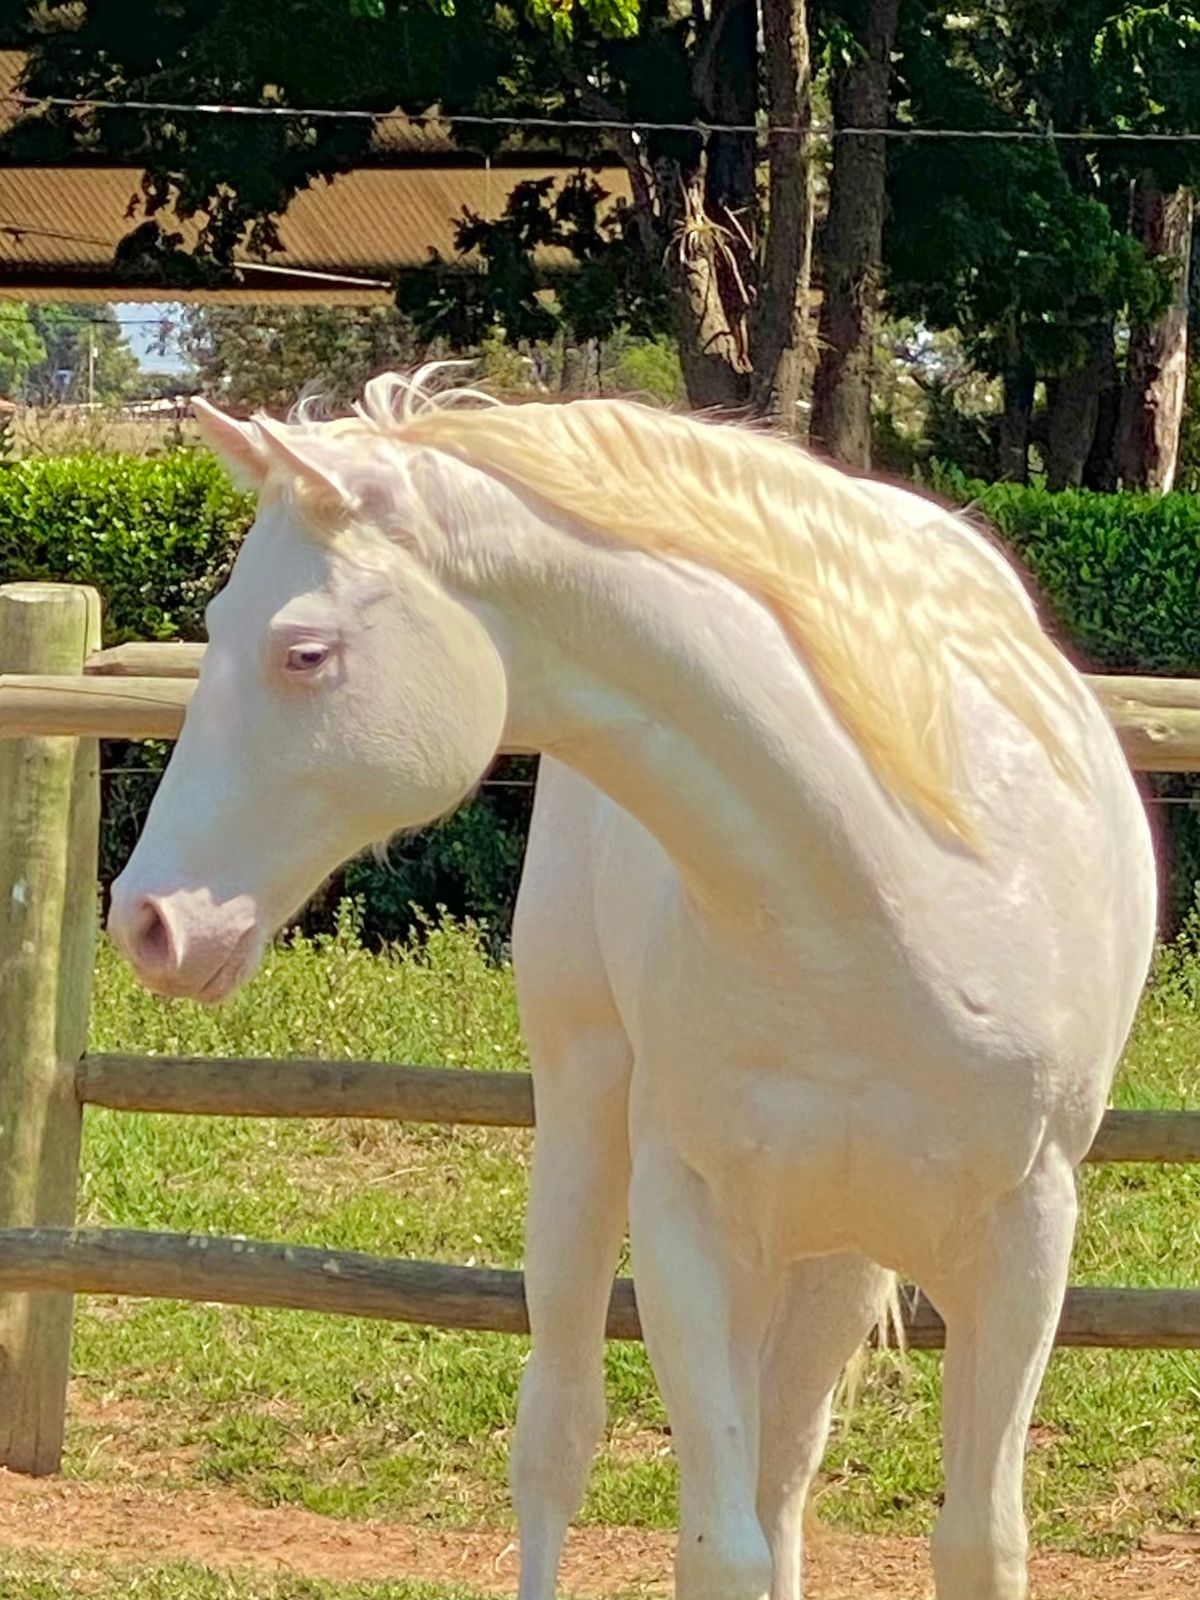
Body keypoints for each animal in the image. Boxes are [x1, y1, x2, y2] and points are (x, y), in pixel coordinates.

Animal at [109, 370, 1156, 1600]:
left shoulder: (1025, 1238)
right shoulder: (687, 1220)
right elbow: (716, 1546)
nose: (150, 922)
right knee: (559, 1440)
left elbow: (975, 1541)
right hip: (588, 1128)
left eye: (304, 652)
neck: (898, 888)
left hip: (839, 1249)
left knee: (786, 1464)